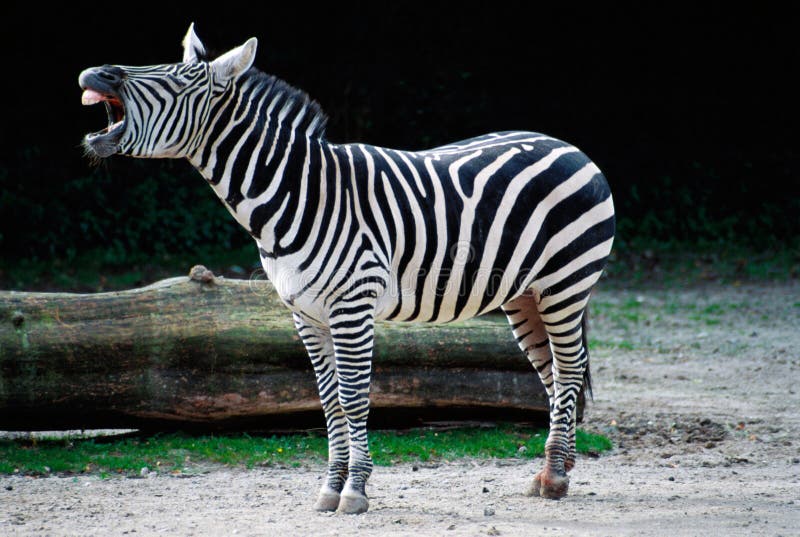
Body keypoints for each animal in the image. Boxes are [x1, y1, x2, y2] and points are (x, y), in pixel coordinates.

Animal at [79, 24, 615, 514]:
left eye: (178, 78)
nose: (94, 72)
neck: (297, 194)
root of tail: (567, 145)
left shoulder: (352, 307)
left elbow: (354, 398)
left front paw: (355, 490)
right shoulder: (305, 314)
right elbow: (329, 400)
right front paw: (331, 487)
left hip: (565, 285)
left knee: (569, 370)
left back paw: (555, 479)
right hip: (524, 295)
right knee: (552, 375)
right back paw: (556, 469)